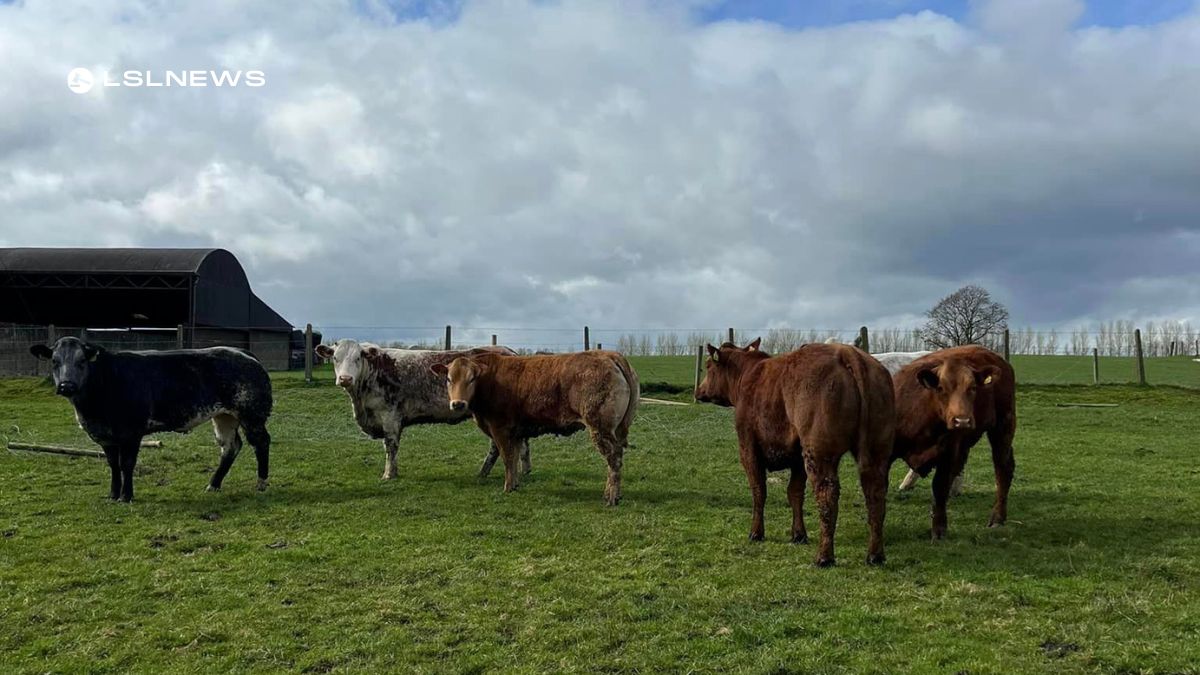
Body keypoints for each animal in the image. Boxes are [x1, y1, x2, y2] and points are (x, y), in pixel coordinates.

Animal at [29, 336, 273, 502]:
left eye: (81, 361)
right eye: (54, 361)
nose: (66, 385)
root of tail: (241, 352)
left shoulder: (132, 432)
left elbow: (126, 464)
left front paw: (126, 496)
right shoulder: (105, 436)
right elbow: (113, 464)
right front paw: (113, 494)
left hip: (251, 414)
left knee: (261, 442)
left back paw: (261, 483)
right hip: (224, 416)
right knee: (230, 446)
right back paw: (213, 484)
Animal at [313, 339, 530, 480]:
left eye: (358, 358)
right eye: (335, 358)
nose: (345, 378)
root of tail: (508, 351)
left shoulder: (390, 416)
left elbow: (390, 446)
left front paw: (388, 474)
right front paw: (394, 472)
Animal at [432, 350, 639, 506]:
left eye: (472, 378)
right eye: (449, 379)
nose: (458, 404)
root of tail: (609, 354)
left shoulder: (500, 428)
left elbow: (507, 458)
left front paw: (508, 487)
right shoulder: (516, 433)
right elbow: (515, 457)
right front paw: (515, 485)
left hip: (599, 427)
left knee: (614, 458)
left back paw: (611, 498)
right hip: (617, 429)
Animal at [695, 338, 894, 567]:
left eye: (708, 366)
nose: (699, 391)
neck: (749, 374)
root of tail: (846, 351)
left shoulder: (748, 448)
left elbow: (759, 491)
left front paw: (756, 532)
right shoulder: (798, 459)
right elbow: (795, 493)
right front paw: (799, 534)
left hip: (818, 453)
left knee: (827, 495)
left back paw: (824, 557)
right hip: (876, 452)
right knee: (875, 494)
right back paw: (875, 555)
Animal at [891, 345, 1016, 540]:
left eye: (973, 388)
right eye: (941, 388)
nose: (962, 421)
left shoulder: (949, 451)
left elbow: (939, 486)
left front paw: (939, 530)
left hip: (1003, 426)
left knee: (1002, 469)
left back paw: (998, 517)